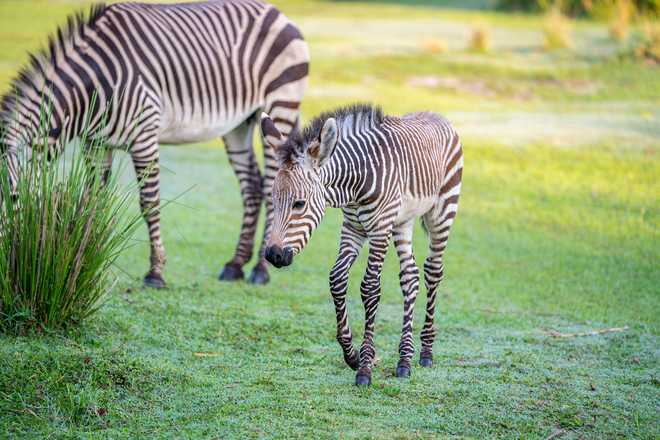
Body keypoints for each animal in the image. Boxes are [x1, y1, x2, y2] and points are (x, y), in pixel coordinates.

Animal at [0, 0, 309, 288]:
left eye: (14, 197)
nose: (8, 261)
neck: (93, 90)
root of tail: (275, 11)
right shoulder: (95, 144)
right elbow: (91, 201)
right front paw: (80, 261)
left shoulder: (144, 137)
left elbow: (149, 203)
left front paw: (156, 273)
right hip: (238, 124)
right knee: (252, 187)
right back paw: (235, 265)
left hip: (280, 105)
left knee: (271, 186)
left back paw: (260, 270)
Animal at [260, 104, 463, 386]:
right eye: (272, 200)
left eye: (299, 204)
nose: (273, 255)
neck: (355, 182)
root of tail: (435, 114)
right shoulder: (352, 228)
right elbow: (336, 279)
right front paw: (352, 356)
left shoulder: (379, 230)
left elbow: (370, 288)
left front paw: (365, 367)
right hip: (403, 221)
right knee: (410, 276)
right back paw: (404, 360)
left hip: (442, 211)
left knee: (433, 271)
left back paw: (426, 353)